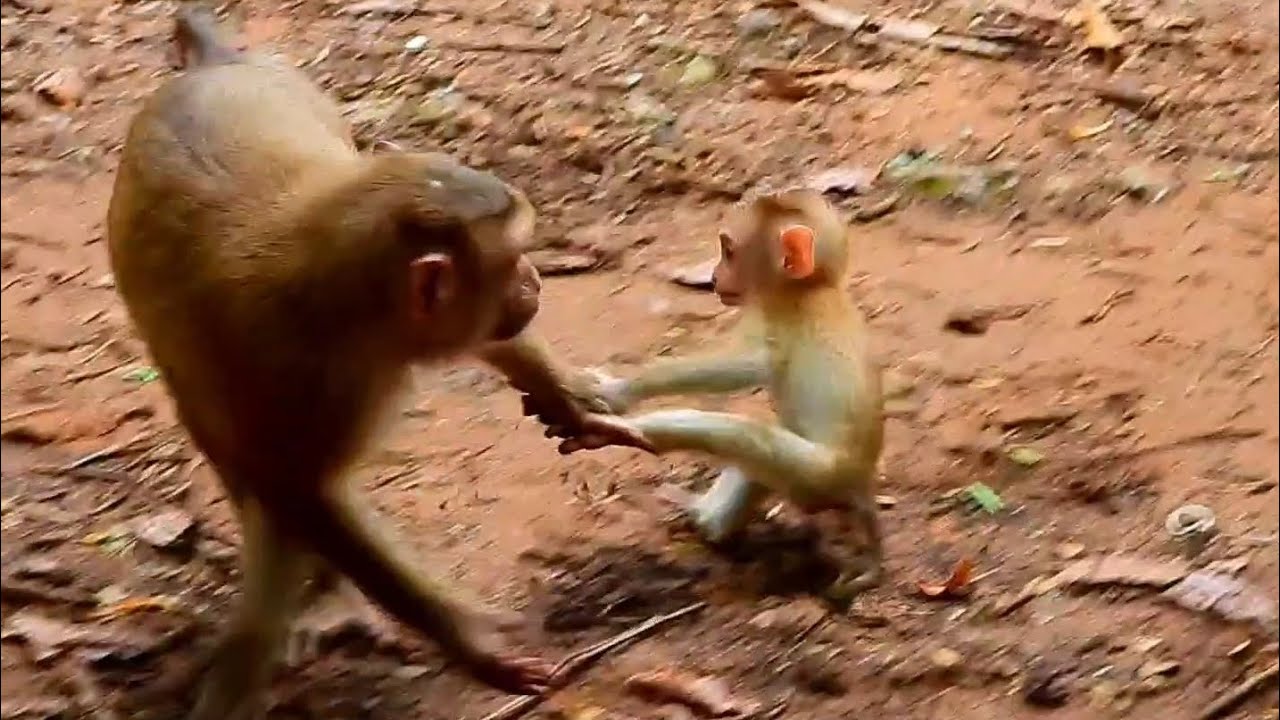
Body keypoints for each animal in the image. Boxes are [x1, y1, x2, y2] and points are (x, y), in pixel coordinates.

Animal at [106, 7, 648, 719]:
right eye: (514, 262)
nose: (534, 282)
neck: (345, 305)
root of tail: (217, 66)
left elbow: (490, 339)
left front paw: (568, 401)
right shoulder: (295, 372)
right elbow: (301, 493)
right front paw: (471, 641)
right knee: (234, 448)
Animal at [539, 189, 886, 596]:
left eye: (730, 251)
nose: (715, 276)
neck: (811, 288)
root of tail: (861, 482)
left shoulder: (776, 323)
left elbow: (734, 367)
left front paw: (614, 391)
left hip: (818, 475)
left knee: (743, 436)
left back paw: (629, 433)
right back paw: (704, 520)